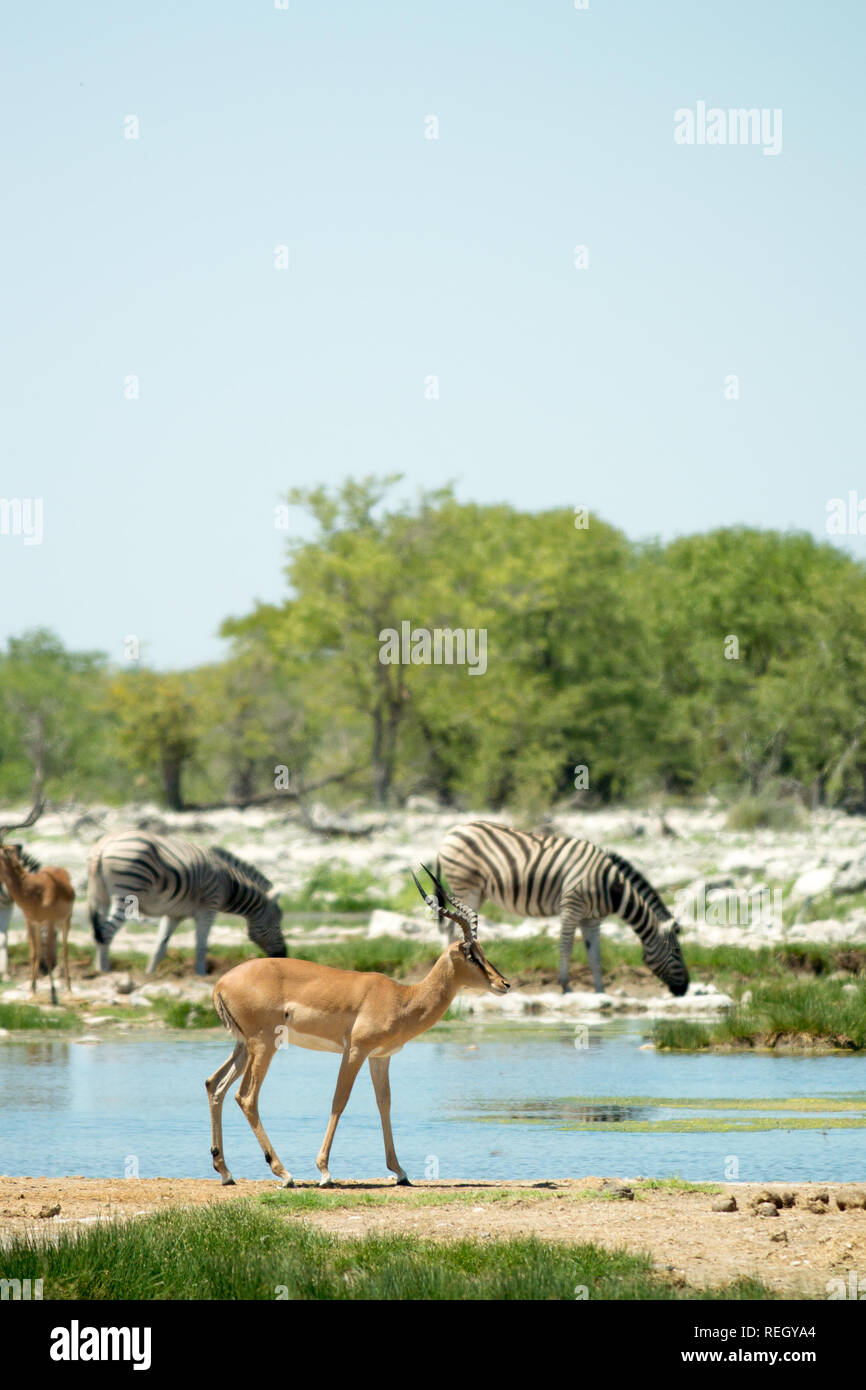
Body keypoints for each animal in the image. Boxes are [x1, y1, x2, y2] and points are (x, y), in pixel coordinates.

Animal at [87, 832, 287, 976]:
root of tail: (103, 847)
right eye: (277, 924)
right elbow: (201, 946)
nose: (283, 955)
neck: (229, 885)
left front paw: (149, 974)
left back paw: (97, 969)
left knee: (98, 932)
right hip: (127, 893)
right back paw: (104, 970)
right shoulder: (208, 908)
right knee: (106, 932)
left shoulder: (173, 914)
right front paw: (201, 975)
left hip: (101, 897)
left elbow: (160, 946)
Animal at [207, 865, 510, 1187]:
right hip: (264, 1045)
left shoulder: (380, 1057)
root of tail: (221, 983)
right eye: (471, 954)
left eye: (482, 950)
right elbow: (339, 1100)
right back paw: (284, 1173)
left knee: (215, 1085)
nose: (504, 983)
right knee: (246, 1096)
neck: (402, 997)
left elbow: (384, 1103)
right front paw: (324, 1171)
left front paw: (400, 1171)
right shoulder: (355, 1050)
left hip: (243, 1046)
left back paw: (226, 1172)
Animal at [436, 820, 689, 996]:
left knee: (451, 927)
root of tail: (450, 833)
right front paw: (566, 986)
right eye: (677, 952)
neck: (610, 886)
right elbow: (566, 945)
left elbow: (595, 954)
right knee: (454, 929)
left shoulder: (591, 919)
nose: (685, 989)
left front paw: (600, 991)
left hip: (471, 890)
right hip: (467, 886)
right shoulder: (572, 906)